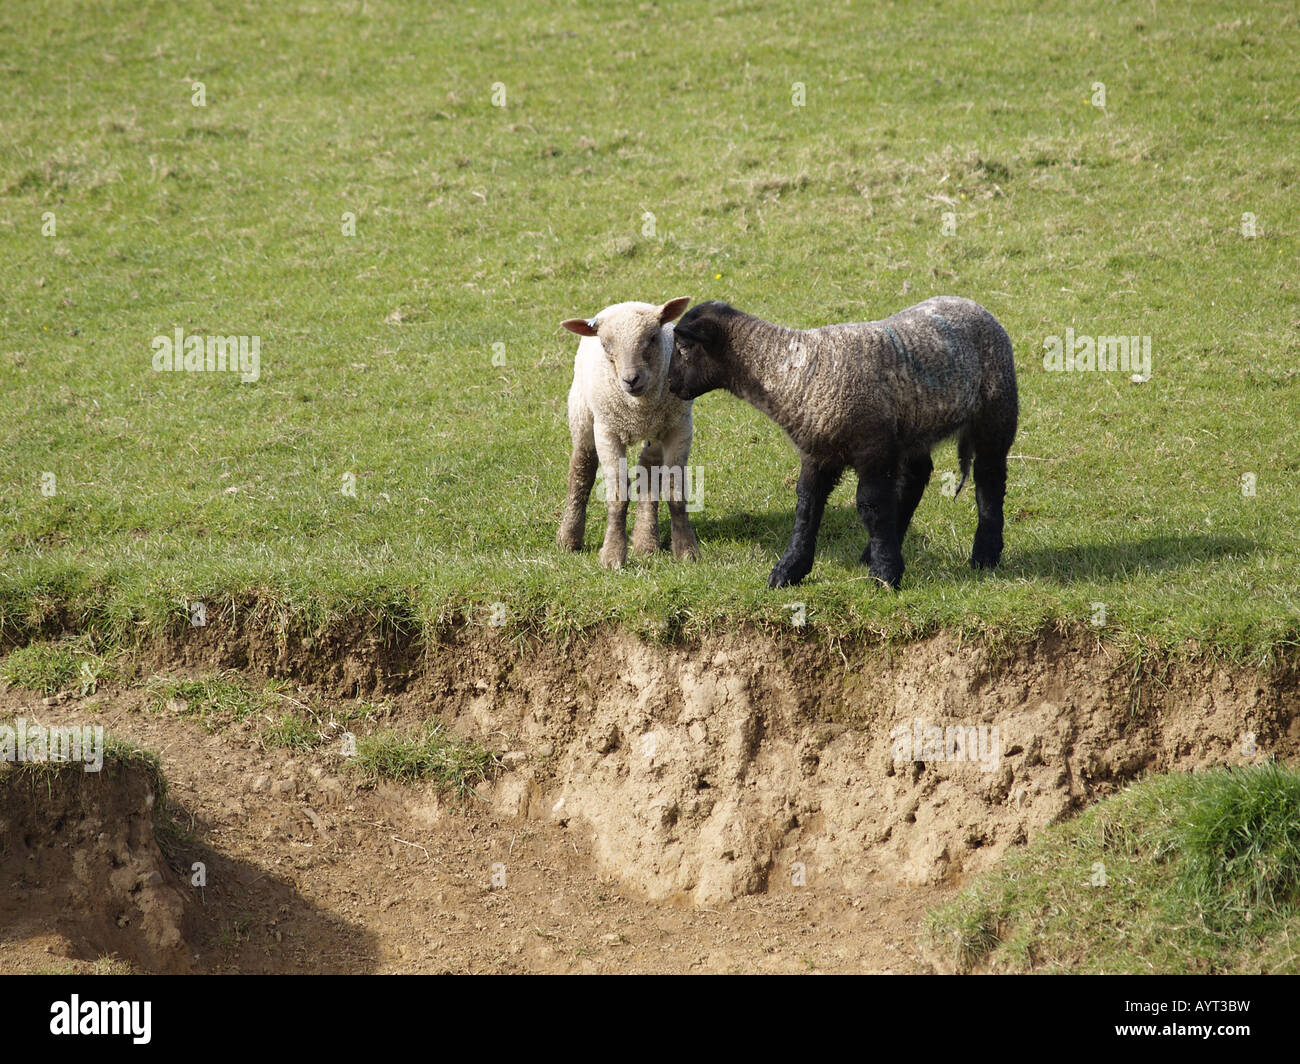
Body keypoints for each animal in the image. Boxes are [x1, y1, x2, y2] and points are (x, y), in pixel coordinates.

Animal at [556, 297, 701, 570]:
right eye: (605, 344)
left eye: (653, 337)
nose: (631, 379)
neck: (638, 407)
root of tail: (624, 302)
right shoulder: (607, 432)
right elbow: (617, 496)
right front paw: (612, 556)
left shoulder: (680, 427)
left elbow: (675, 492)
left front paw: (687, 551)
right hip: (582, 413)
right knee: (581, 470)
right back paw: (569, 538)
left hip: (657, 428)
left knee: (649, 468)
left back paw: (646, 542)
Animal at [666, 296, 1018, 589]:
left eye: (684, 346)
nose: (669, 384)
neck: (789, 371)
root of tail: (972, 304)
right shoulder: (817, 452)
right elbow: (807, 507)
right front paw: (788, 571)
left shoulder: (872, 447)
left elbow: (871, 506)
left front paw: (885, 575)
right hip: (913, 429)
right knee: (915, 479)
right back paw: (874, 551)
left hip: (996, 412)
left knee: (989, 479)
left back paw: (985, 555)